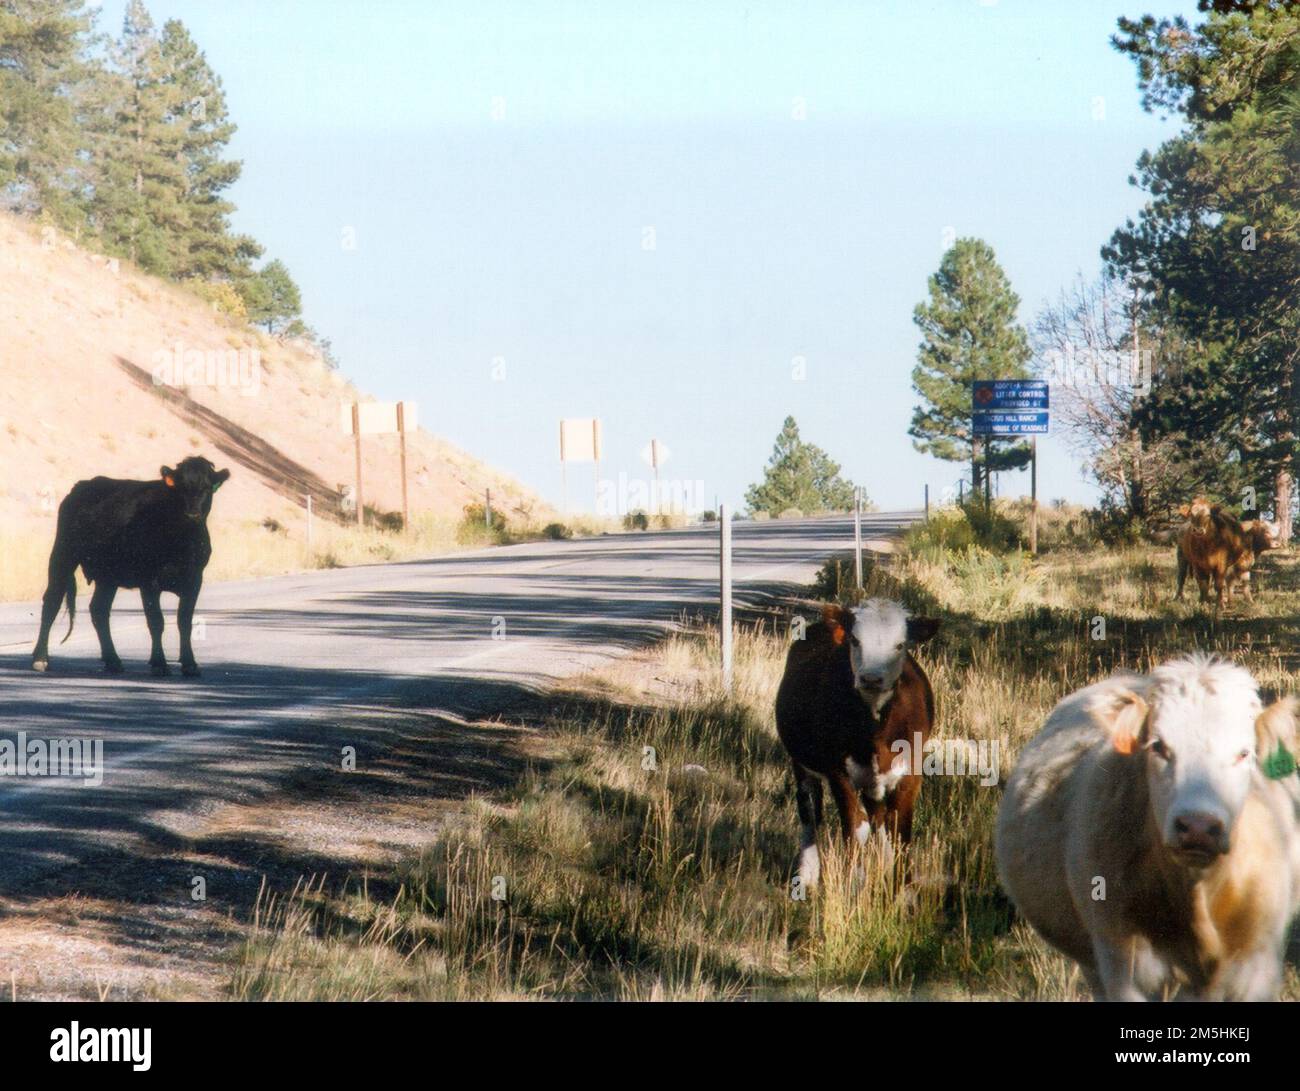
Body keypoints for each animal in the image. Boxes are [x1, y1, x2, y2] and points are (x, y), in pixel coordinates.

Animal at [31, 457, 231, 677]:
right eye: (180, 487)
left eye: (207, 487)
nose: (192, 514)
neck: (180, 539)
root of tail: (83, 486)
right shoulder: (149, 581)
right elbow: (156, 621)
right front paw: (159, 664)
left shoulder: (194, 580)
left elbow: (184, 621)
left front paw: (190, 664)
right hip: (63, 554)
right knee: (52, 602)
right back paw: (40, 659)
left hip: (107, 577)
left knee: (99, 609)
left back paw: (113, 661)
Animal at [774, 598, 941, 890]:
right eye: (855, 640)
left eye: (900, 644)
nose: (871, 679)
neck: (875, 732)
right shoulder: (838, 772)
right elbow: (853, 826)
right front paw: (853, 883)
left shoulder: (910, 774)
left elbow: (900, 832)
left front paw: (902, 889)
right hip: (801, 762)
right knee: (810, 811)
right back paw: (807, 874)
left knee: (877, 818)